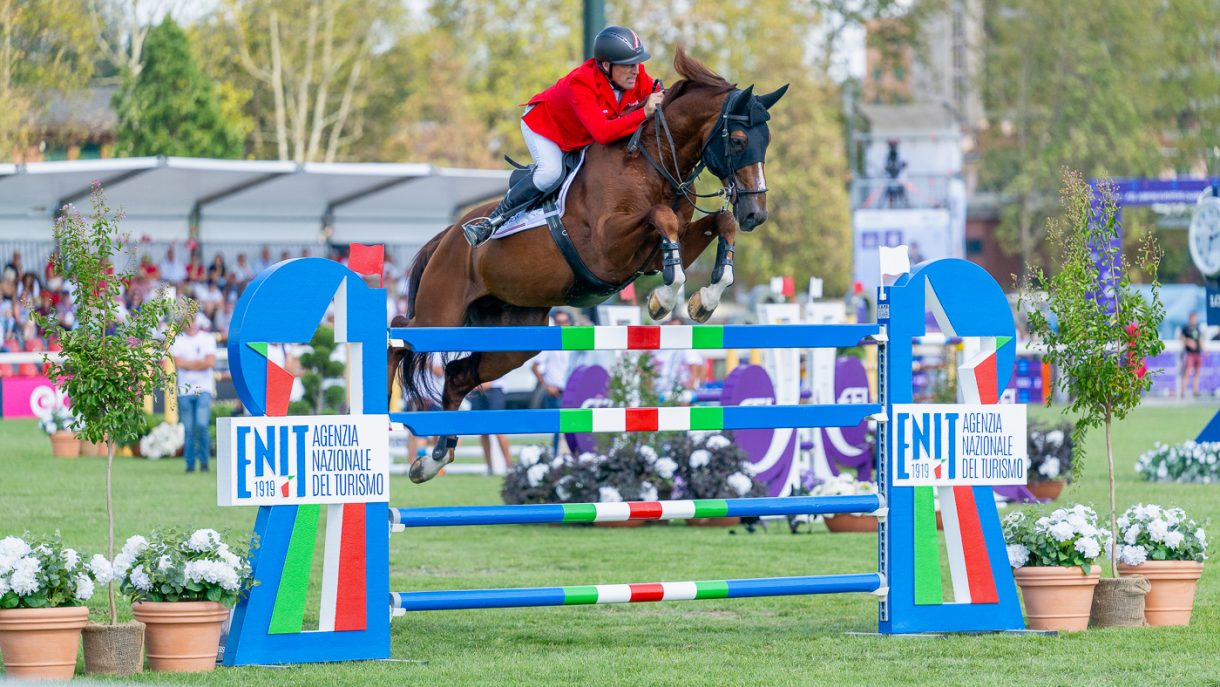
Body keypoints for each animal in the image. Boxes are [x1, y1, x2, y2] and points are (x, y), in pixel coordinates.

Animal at [392, 46, 788, 482]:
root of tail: (447, 234)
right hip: (440, 313)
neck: (654, 161)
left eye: (766, 140)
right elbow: (661, 218)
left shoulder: (656, 252)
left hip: (516, 333)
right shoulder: (605, 248)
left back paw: (433, 459)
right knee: (400, 331)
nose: (756, 214)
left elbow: (718, 223)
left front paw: (706, 298)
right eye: (738, 140)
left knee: (458, 377)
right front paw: (664, 301)